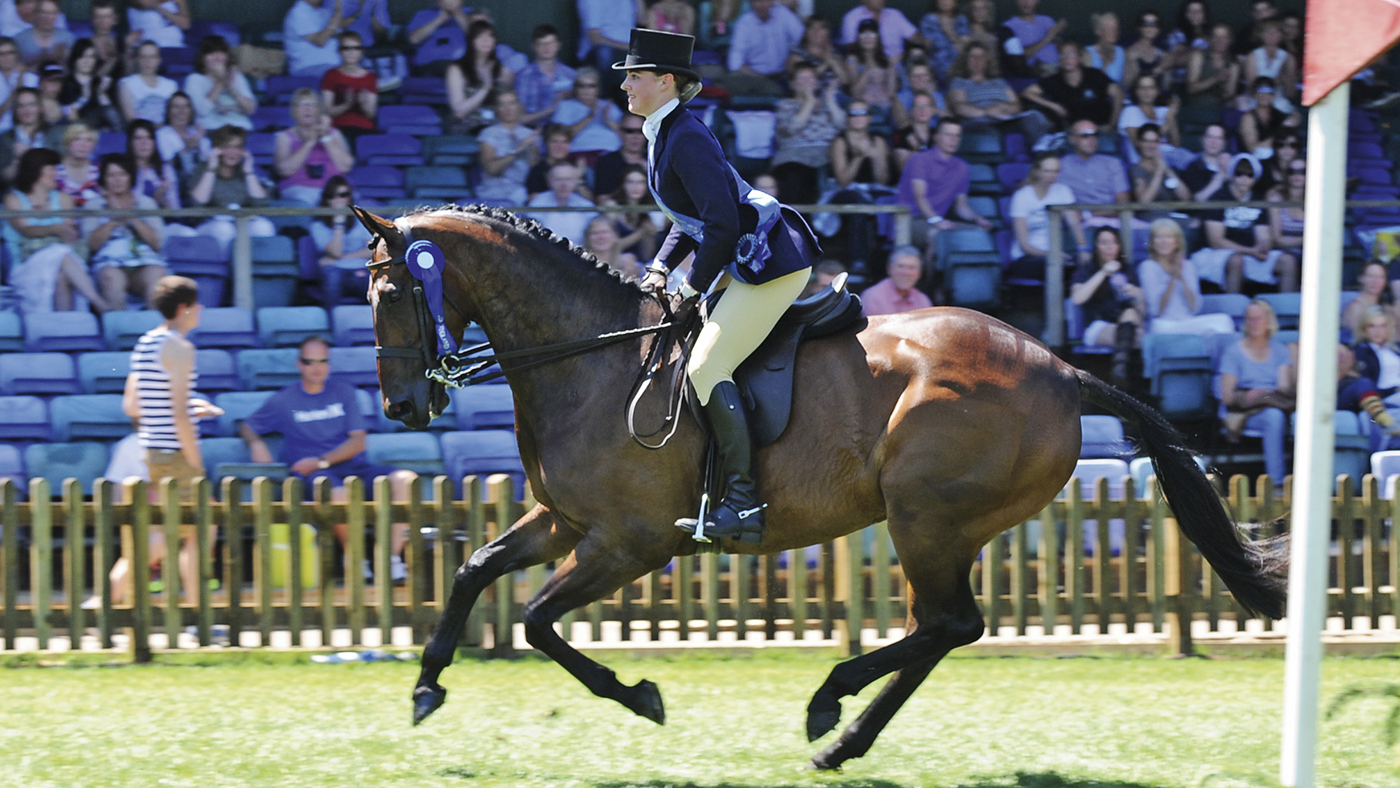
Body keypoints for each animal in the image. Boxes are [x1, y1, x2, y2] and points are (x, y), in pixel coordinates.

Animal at [355, 204, 1289, 771]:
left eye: (392, 292)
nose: (402, 406)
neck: (592, 355)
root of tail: (1063, 371)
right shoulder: (563, 521)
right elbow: (475, 569)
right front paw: (427, 686)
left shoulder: (629, 541)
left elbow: (540, 621)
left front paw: (641, 696)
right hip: (936, 527)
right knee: (937, 630)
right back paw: (841, 741)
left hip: (926, 516)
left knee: (950, 623)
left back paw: (827, 706)